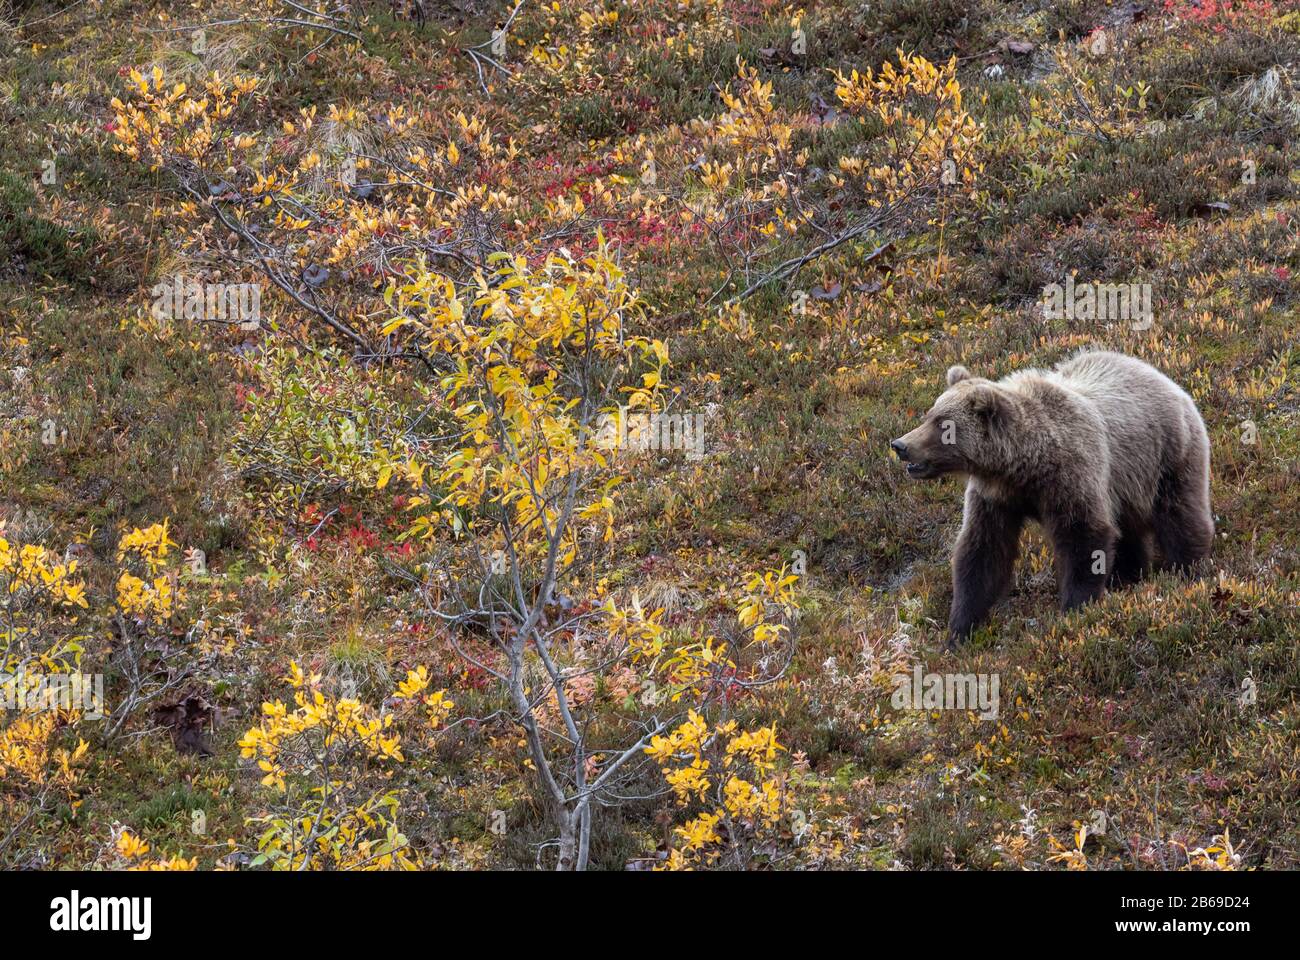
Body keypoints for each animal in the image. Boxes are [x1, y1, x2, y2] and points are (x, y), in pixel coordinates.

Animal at [889, 350, 1213, 646]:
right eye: (929, 415)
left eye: (942, 424)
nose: (900, 445)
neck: (1024, 465)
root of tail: (1169, 381)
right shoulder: (995, 496)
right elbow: (982, 550)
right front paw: (960, 629)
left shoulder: (1072, 474)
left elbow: (1084, 538)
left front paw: (1075, 609)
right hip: (1125, 485)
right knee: (1129, 530)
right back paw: (1128, 576)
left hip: (1167, 457)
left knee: (1180, 515)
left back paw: (1187, 570)